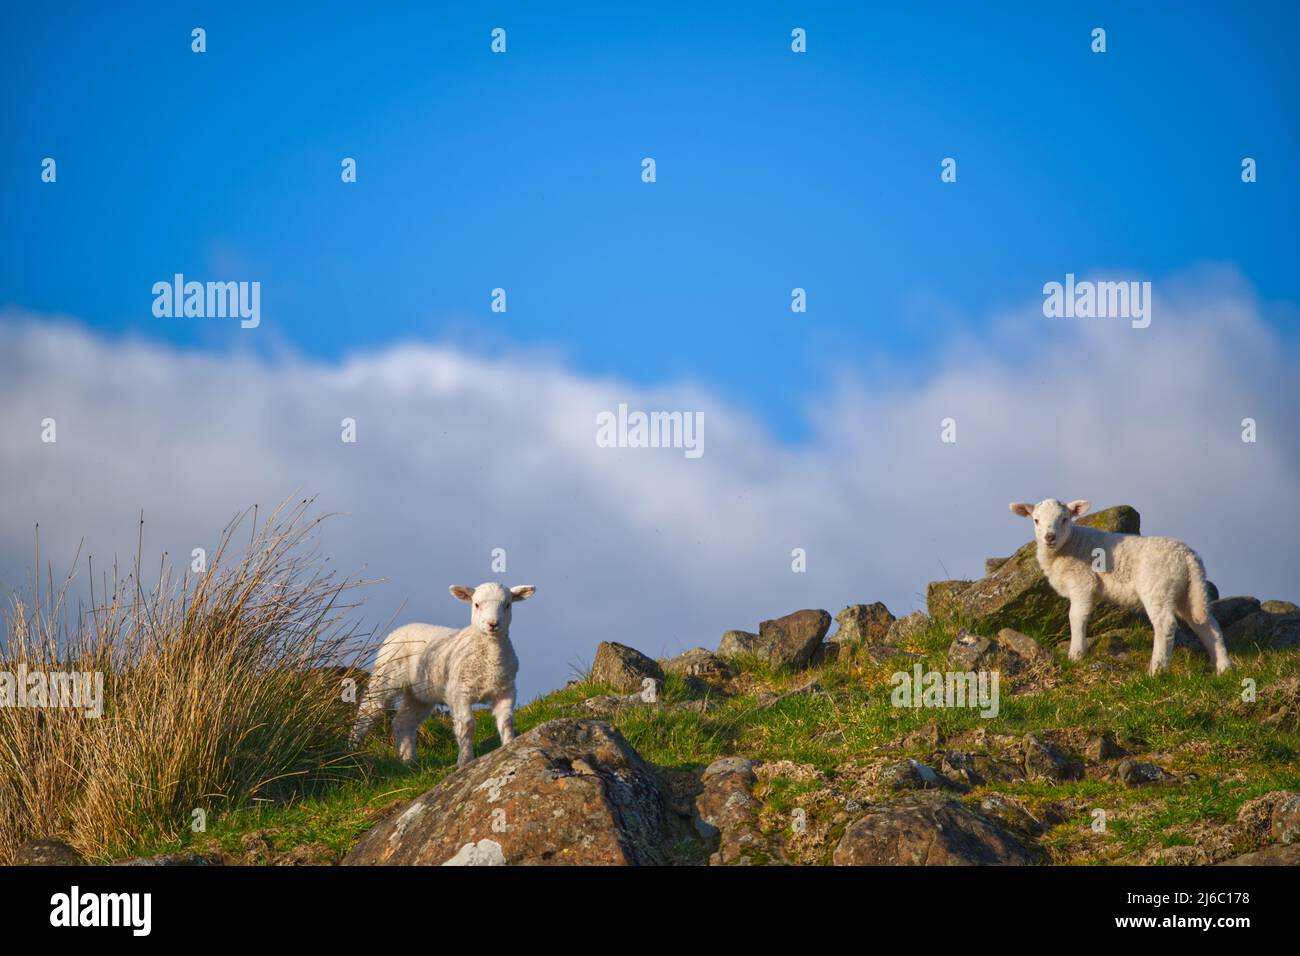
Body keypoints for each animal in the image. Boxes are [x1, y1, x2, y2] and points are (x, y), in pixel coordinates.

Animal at [350, 582, 536, 766]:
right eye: (476, 604)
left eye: (507, 604)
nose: (493, 624)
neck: (489, 659)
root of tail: (403, 628)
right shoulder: (459, 693)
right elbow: (467, 726)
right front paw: (465, 761)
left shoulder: (506, 691)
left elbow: (507, 721)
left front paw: (509, 747)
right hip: (386, 675)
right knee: (368, 710)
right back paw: (352, 748)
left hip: (420, 694)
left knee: (403, 722)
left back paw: (409, 761)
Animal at [1008, 499, 1229, 676]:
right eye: (1036, 520)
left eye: (1064, 519)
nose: (1049, 537)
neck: (1069, 545)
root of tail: (1188, 556)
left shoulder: (1082, 582)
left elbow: (1076, 617)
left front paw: (1075, 655)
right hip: (1187, 591)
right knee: (1208, 625)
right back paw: (1223, 669)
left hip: (1158, 587)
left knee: (1165, 624)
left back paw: (1156, 671)